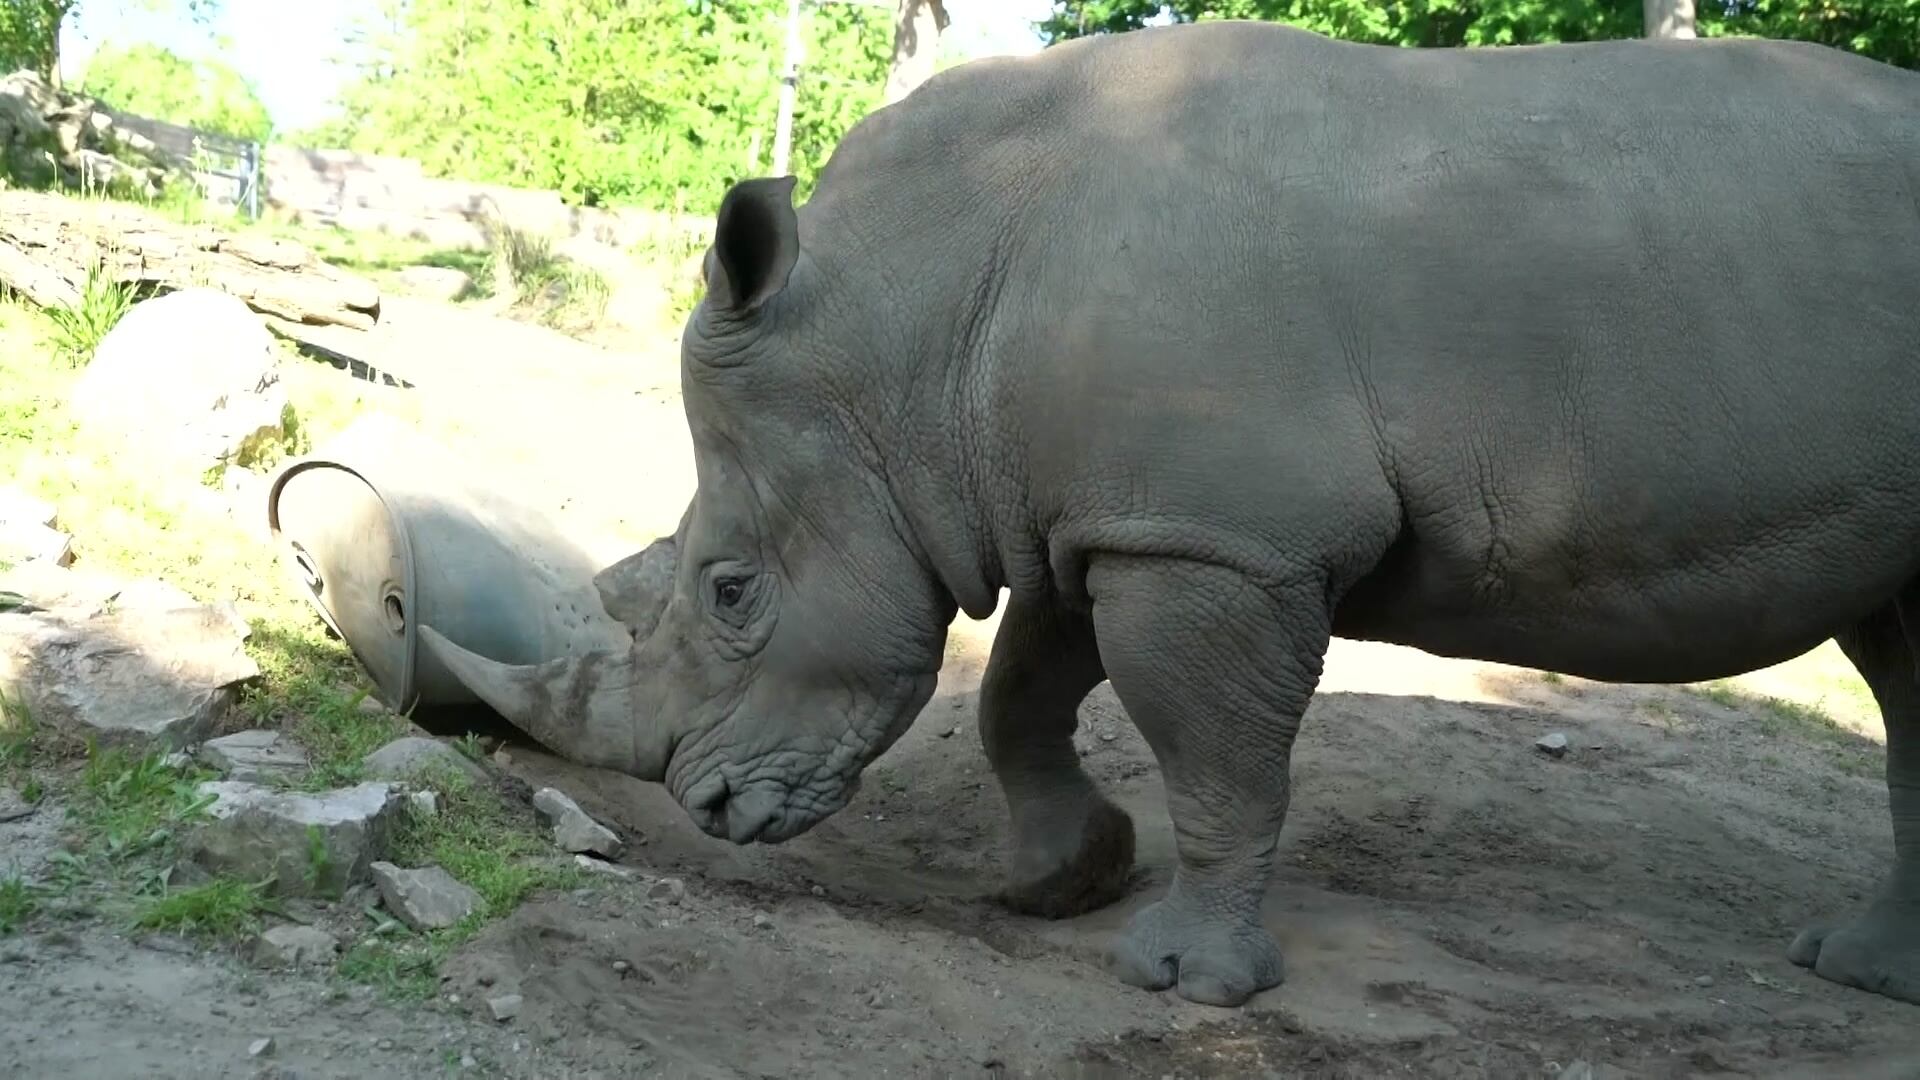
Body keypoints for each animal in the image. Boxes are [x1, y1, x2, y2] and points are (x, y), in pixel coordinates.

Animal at [420, 23, 1920, 1008]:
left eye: (731, 589)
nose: (709, 807)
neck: (905, 333)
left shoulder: (1215, 540)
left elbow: (1215, 759)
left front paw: (1186, 983)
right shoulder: (1111, 513)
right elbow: (1024, 687)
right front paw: (1060, 884)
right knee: (1906, 656)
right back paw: (1860, 976)